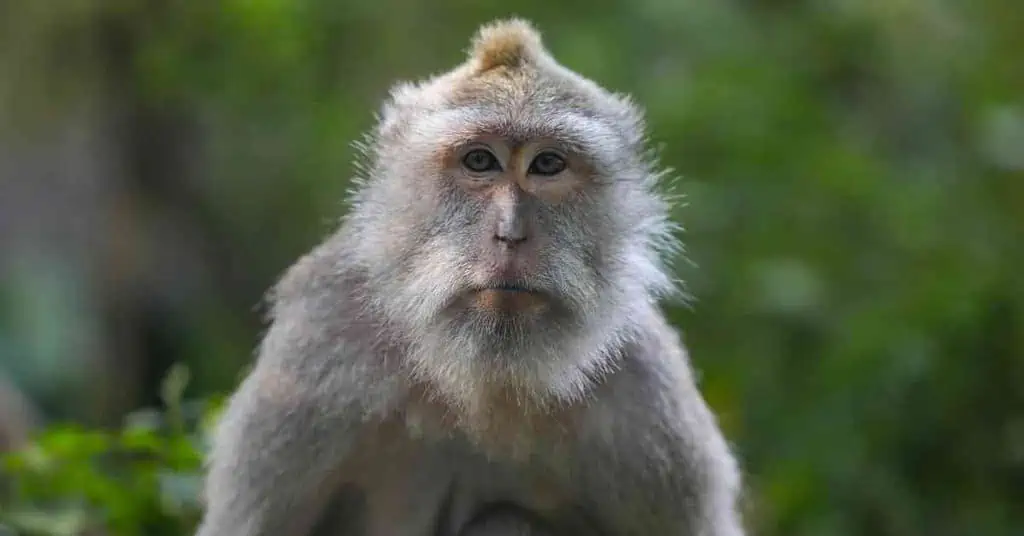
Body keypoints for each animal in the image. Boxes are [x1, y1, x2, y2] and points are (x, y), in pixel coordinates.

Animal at [194, 18, 746, 536]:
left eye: (548, 164)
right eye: (480, 160)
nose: (510, 233)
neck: (485, 381)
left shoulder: (644, 394)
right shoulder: (314, 350)